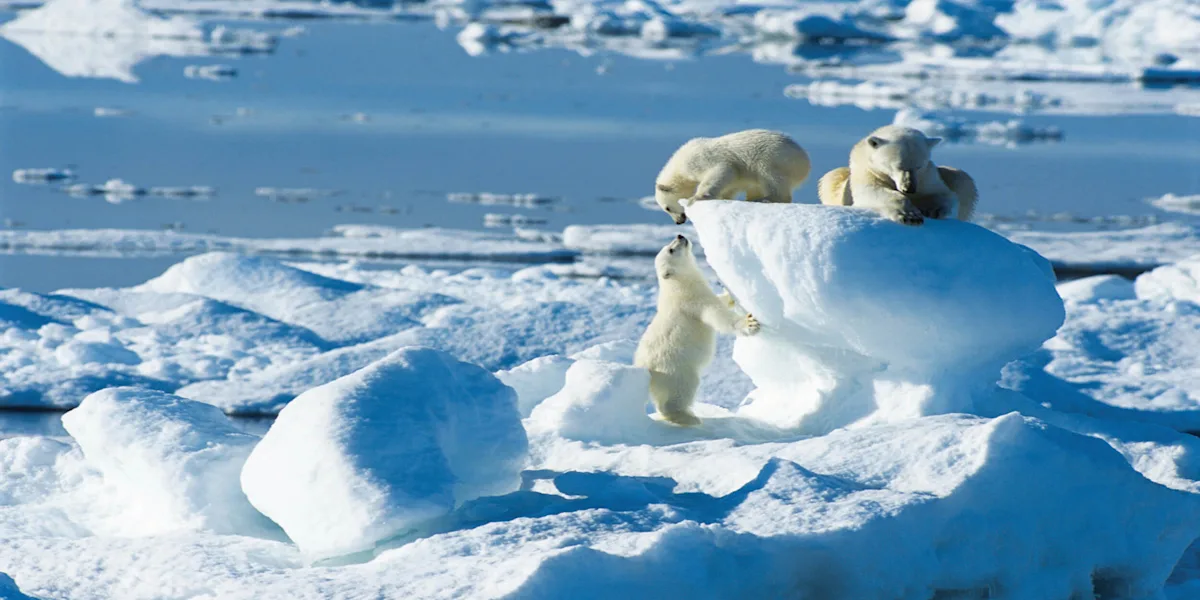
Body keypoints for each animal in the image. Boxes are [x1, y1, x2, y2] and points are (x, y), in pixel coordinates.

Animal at [633, 235, 759, 426]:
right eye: (670, 249)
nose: (680, 235)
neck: (678, 284)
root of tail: (645, 370)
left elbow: (719, 301)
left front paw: (728, 293)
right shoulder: (693, 302)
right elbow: (717, 316)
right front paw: (749, 323)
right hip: (675, 370)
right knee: (680, 391)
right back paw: (688, 417)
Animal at [654, 129, 811, 224]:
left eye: (667, 208)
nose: (678, 221)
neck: (680, 163)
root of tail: (805, 160)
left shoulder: (700, 160)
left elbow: (722, 171)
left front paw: (696, 198)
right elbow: (730, 184)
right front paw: (724, 197)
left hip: (774, 158)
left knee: (771, 178)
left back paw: (765, 198)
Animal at [817, 125, 978, 225]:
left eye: (919, 166)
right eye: (897, 165)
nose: (909, 188)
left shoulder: (926, 177)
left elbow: (944, 194)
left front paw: (934, 210)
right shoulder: (868, 173)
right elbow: (873, 191)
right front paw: (910, 216)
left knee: (962, 178)